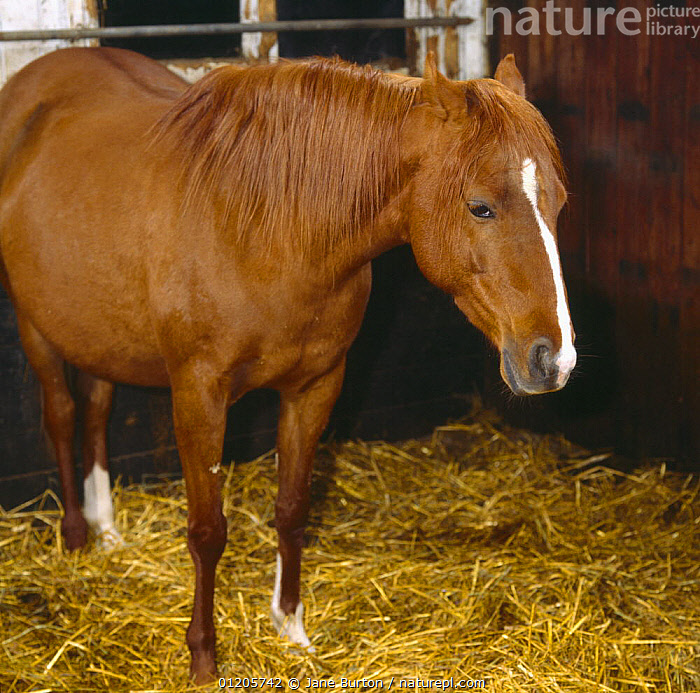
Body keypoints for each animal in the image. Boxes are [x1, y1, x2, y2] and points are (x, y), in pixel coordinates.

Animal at [0, 47, 576, 682]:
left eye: (559, 204)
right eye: (480, 207)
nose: (554, 359)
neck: (270, 229)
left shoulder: (315, 387)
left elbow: (292, 509)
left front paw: (291, 629)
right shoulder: (198, 394)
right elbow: (207, 530)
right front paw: (204, 657)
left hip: (97, 331)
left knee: (97, 408)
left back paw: (106, 528)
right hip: (36, 326)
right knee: (61, 414)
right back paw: (77, 534)